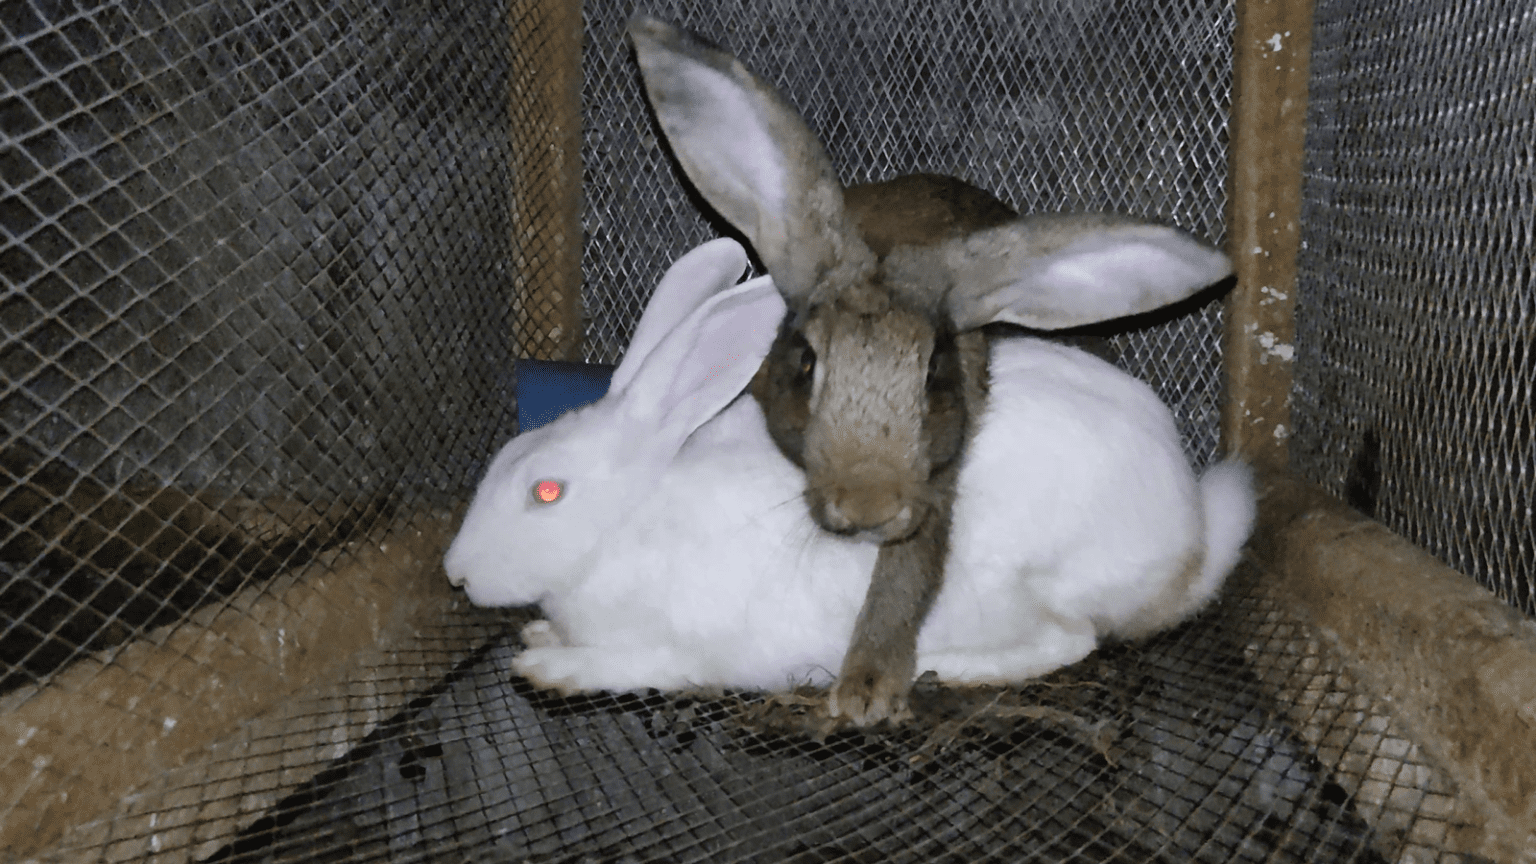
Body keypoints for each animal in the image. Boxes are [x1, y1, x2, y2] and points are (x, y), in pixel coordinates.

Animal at [443, 238, 1256, 701]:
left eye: (547, 491)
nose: (456, 574)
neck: (626, 525)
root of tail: (1190, 540)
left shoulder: (682, 648)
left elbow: (630, 664)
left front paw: (552, 668)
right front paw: (541, 636)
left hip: (1033, 582)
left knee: (1072, 642)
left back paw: (951, 666)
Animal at [627, 16, 1237, 723]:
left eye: (934, 372)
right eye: (805, 362)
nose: (868, 505)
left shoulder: (936, 477)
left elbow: (910, 567)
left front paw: (866, 690)